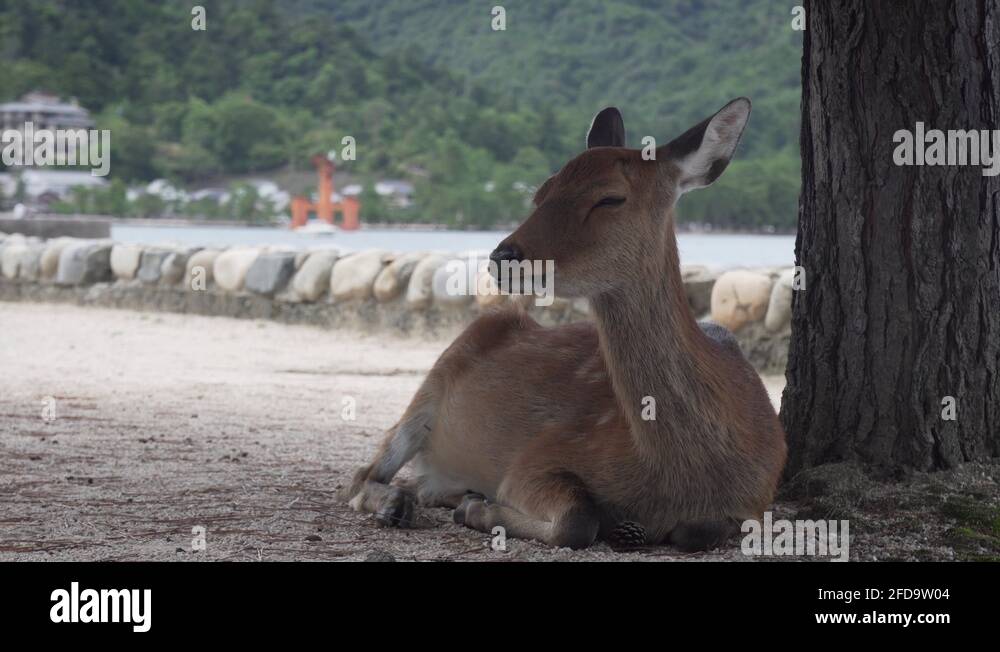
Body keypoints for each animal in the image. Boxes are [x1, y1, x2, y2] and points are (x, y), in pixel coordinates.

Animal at [343, 98, 787, 551]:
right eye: (542, 192)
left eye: (610, 197)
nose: (503, 256)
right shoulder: (536, 457)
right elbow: (577, 520)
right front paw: (479, 510)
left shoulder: (756, 499)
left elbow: (697, 532)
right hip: (431, 383)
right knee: (365, 474)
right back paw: (400, 504)